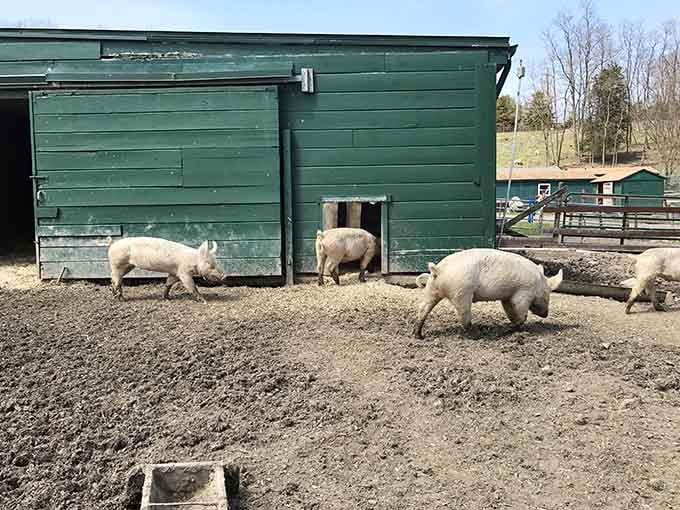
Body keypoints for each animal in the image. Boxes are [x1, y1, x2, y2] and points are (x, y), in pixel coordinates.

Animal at [413, 248, 563, 338]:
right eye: (548, 293)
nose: (546, 314)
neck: (538, 283)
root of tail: (439, 269)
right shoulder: (523, 293)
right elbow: (522, 315)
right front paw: (507, 331)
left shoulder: (507, 297)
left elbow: (511, 313)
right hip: (462, 293)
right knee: (464, 317)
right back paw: (477, 335)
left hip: (432, 289)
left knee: (423, 308)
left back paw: (418, 335)